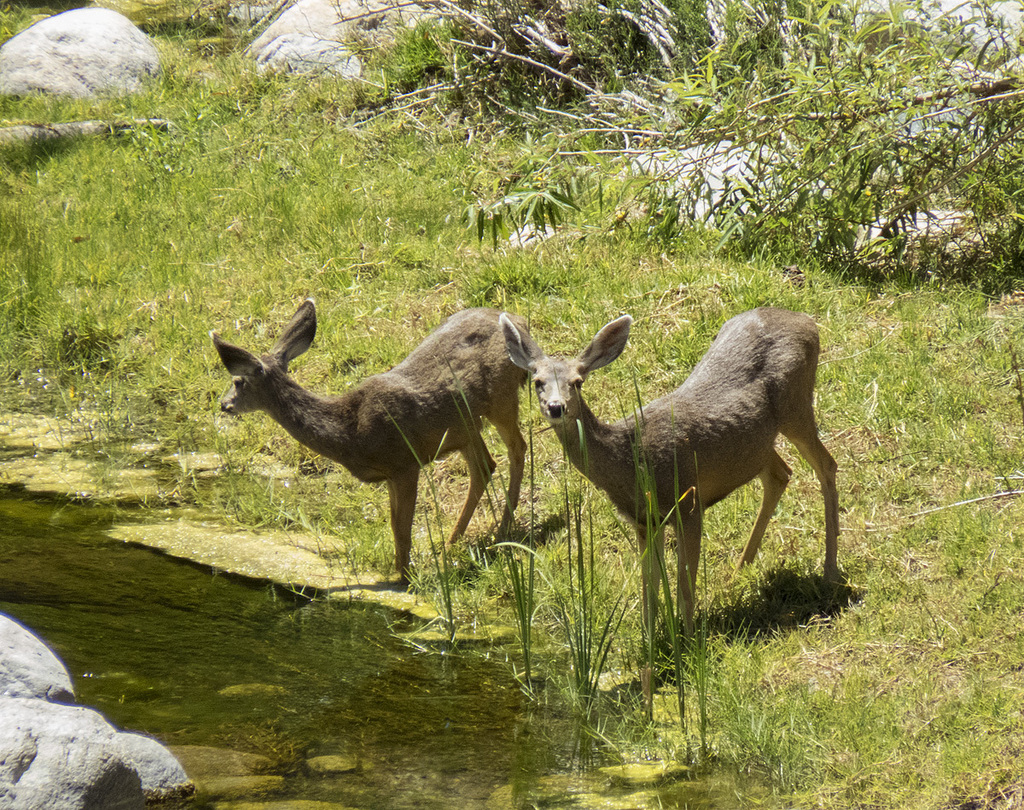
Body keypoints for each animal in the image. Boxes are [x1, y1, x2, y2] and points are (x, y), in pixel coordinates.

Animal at [212, 299, 529, 585]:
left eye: (238, 381)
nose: (223, 403)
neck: (351, 433)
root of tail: (520, 322)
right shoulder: (390, 473)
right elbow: (393, 523)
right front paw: (399, 570)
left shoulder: (405, 462)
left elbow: (402, 527)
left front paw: (404, 577)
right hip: (465, 426)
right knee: (485, 466)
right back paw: (453, 543)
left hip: (500, 397)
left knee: (517, 447)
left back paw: (502, 528)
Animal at [500, 307, 840, 632]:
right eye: (537, 382)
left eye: (577, 382)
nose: (556, 407)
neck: (631, 462)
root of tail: (806, 321)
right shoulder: (644, 520)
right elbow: (648, 589)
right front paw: (650, 640)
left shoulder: (688, 503)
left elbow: (684, 587)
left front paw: (688, 640)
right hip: (757, 444)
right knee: (780, 473)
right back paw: (740, 568)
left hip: (796, 405)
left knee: (827, 464)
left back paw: (830, 571)